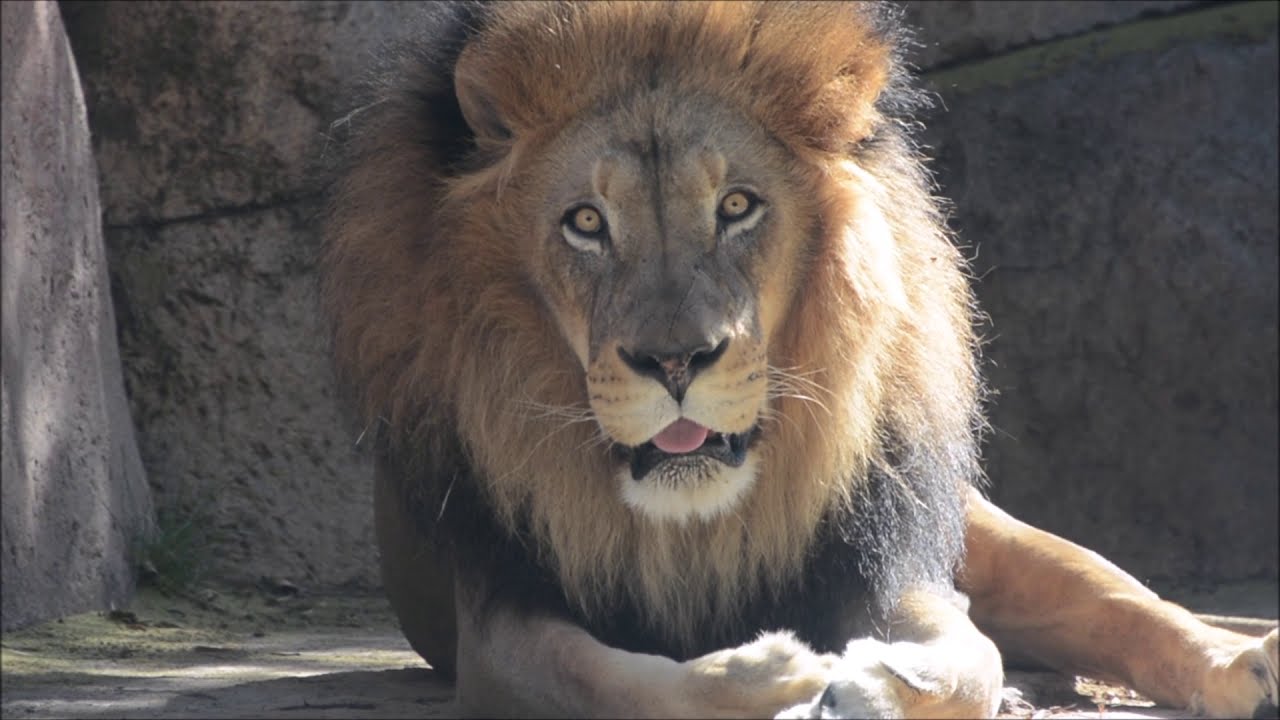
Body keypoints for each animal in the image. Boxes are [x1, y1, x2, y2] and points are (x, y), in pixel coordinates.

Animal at [321, 2, 1278, 717]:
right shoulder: (501, 624)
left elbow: (971, 658)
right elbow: (607, 684)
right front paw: (777, 677)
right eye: (586, 222)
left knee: (1124, 598)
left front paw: (875, 683)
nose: (676, 362)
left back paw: (1248, 667)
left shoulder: (890, 557)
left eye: (737, 207)